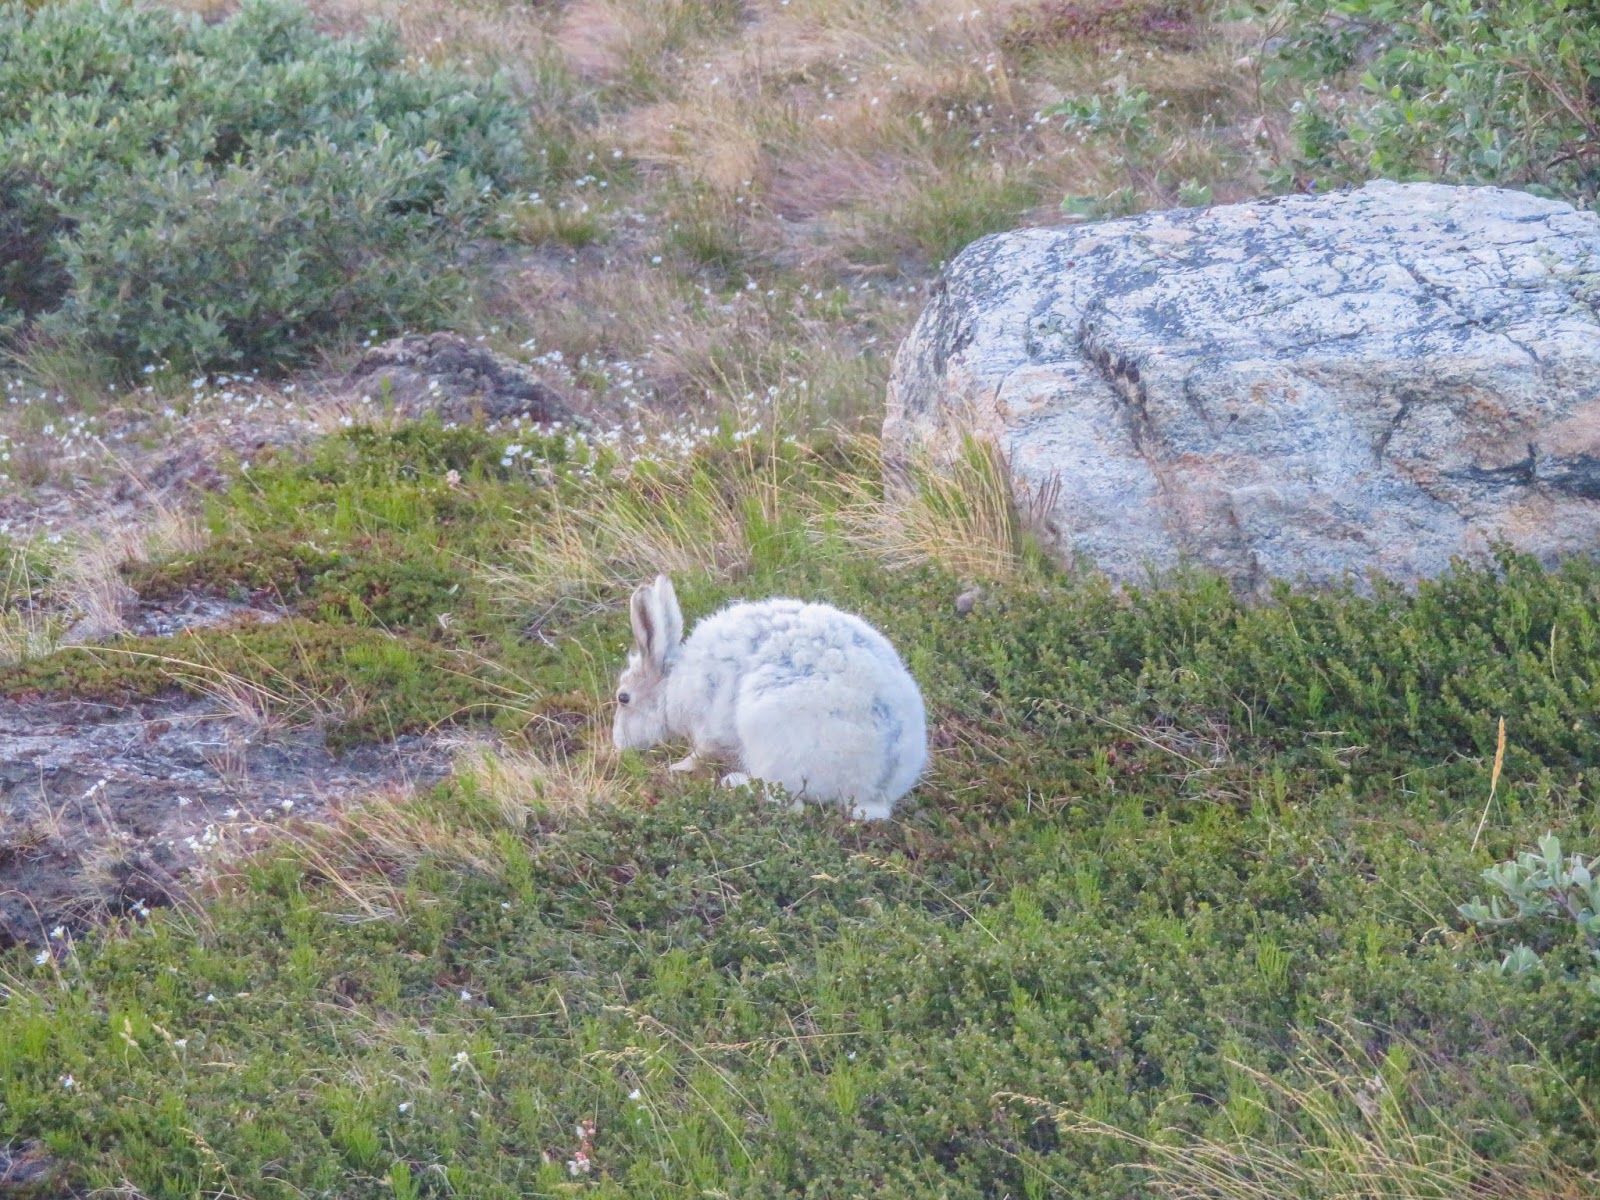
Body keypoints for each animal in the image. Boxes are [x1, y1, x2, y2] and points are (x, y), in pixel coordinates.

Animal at [611, 575, 928, 821]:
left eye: (623, 698)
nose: (619, 744)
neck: (672, 681)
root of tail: (874, 792)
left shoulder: (711, 727)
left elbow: (701, 752)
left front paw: (678, 767)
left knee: (789, 803)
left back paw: (734, 782)